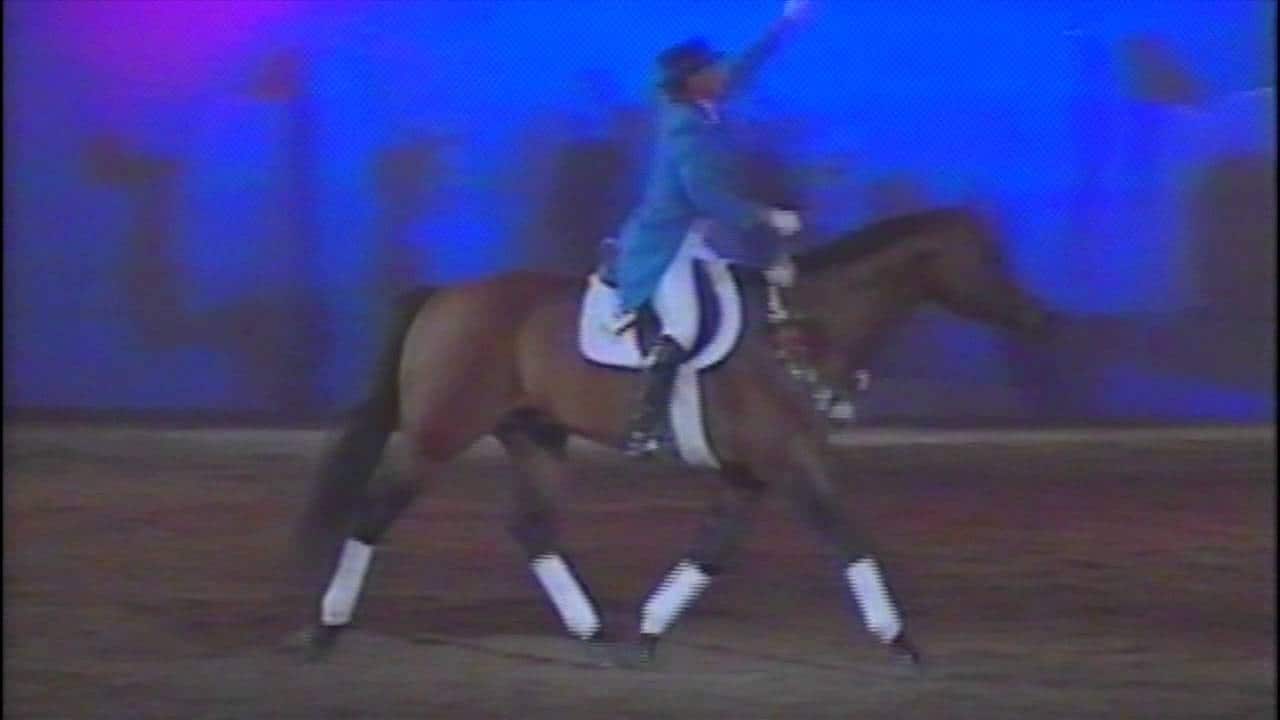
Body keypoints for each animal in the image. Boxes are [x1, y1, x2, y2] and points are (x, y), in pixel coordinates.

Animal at [292, 206, 1053, 667]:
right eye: (984, 259)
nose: (1036, 317)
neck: (799, 330)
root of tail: (447, 294)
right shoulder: (792, 463)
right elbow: (847, 537)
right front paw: (900, 643)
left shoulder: (748, 475)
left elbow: (712, 552)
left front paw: (650, 632)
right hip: (437, 433)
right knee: (371, 514)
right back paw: (327, 630)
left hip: (535, 435)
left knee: (533, 528)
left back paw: (595, 635)